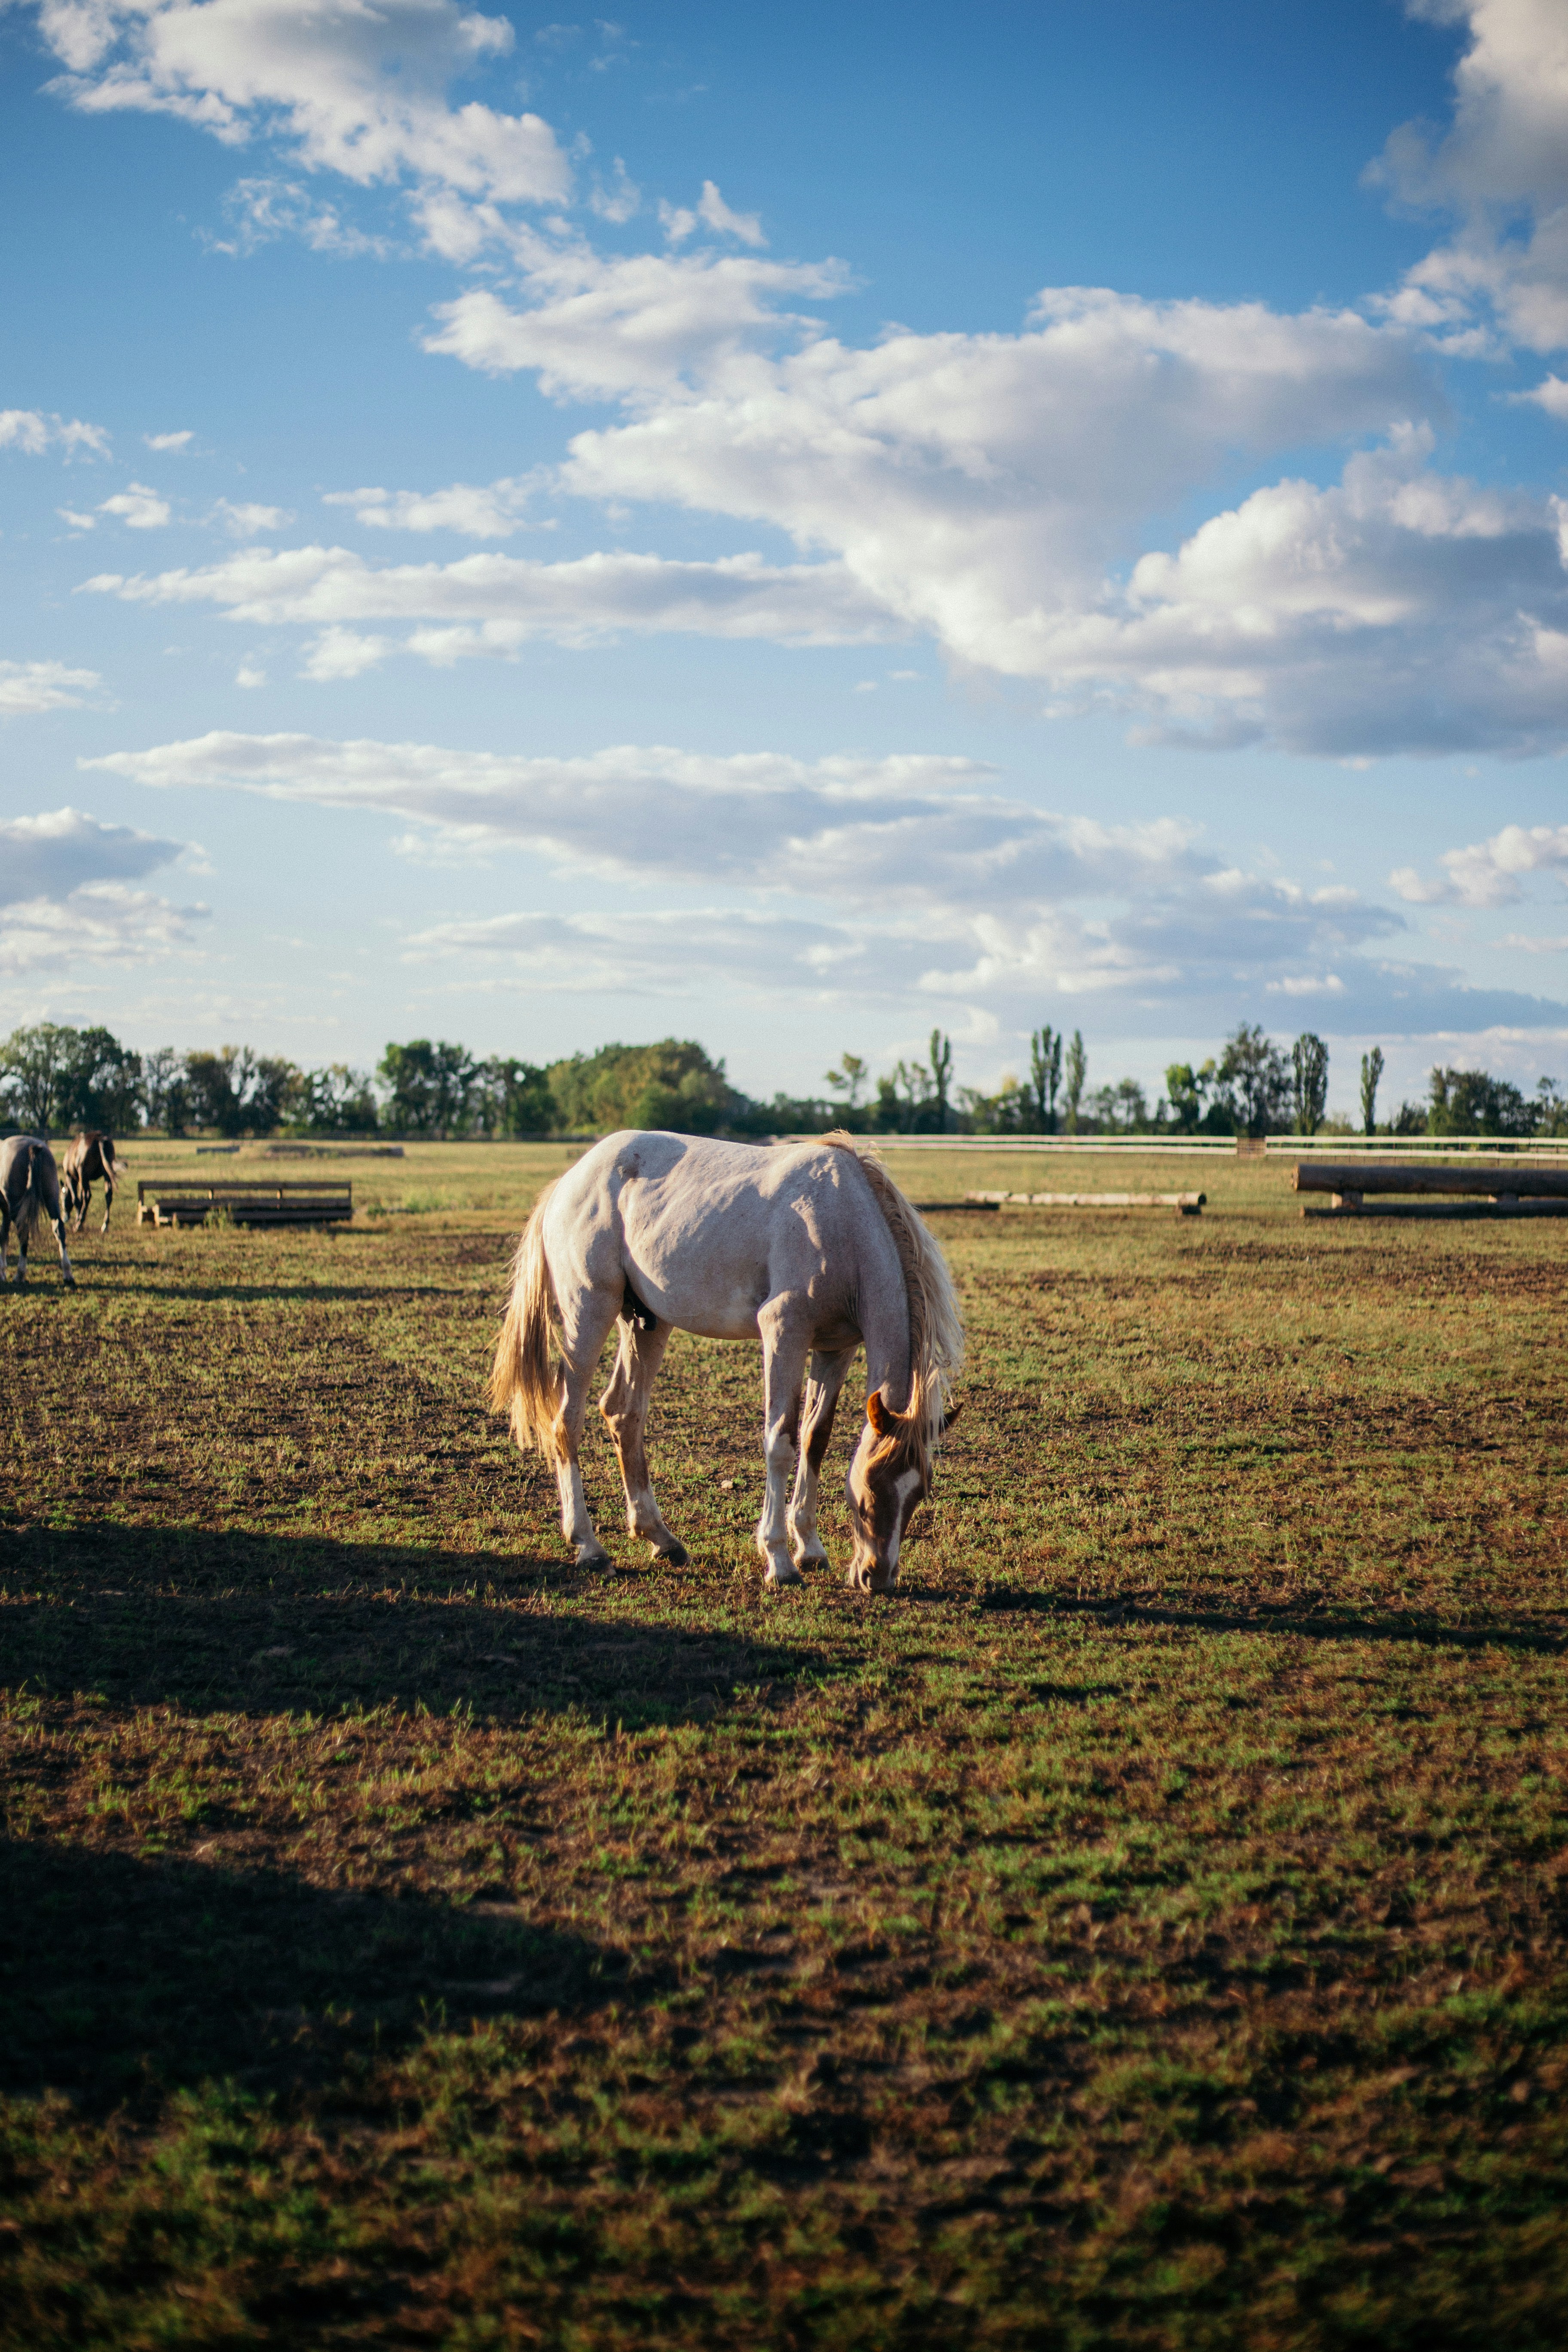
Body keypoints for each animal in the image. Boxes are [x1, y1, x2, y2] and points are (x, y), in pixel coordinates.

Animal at [0, 1136, 77, 1289]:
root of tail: (33, 1147)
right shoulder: (5, 1210)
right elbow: (4, 1236)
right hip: (51, 1199)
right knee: (59, 1229)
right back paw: (68, 1274)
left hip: (15, 1207)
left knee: (23, 1232)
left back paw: (20, 1274)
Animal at [60, 1129, 127, 1234]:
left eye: (62, 1199)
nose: (64, 1218)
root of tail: (99, 1139)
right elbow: (80, 1199)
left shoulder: (71, 1177)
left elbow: (76, 1200)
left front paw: (78, 1220)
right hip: (106, 1174)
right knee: (108, 1196)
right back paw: (105, 1225)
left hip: (83, 1174)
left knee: (87, 1196)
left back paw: (79, 1224)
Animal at [489, 1130, 963, 1592]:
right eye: (872, 1487)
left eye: (918, 1492)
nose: (878, 1577)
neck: (841, 1220)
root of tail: (569, 1182)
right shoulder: (784, 1333)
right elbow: (781, 1443)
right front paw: (779, 1559)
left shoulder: (835, 1349)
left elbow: (815, 1438)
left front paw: (810, 1548)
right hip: (588, 1312)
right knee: (566, 1422)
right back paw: (589, 1547)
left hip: (647, 1324)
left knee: (624, 1413)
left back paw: (661, 1538)